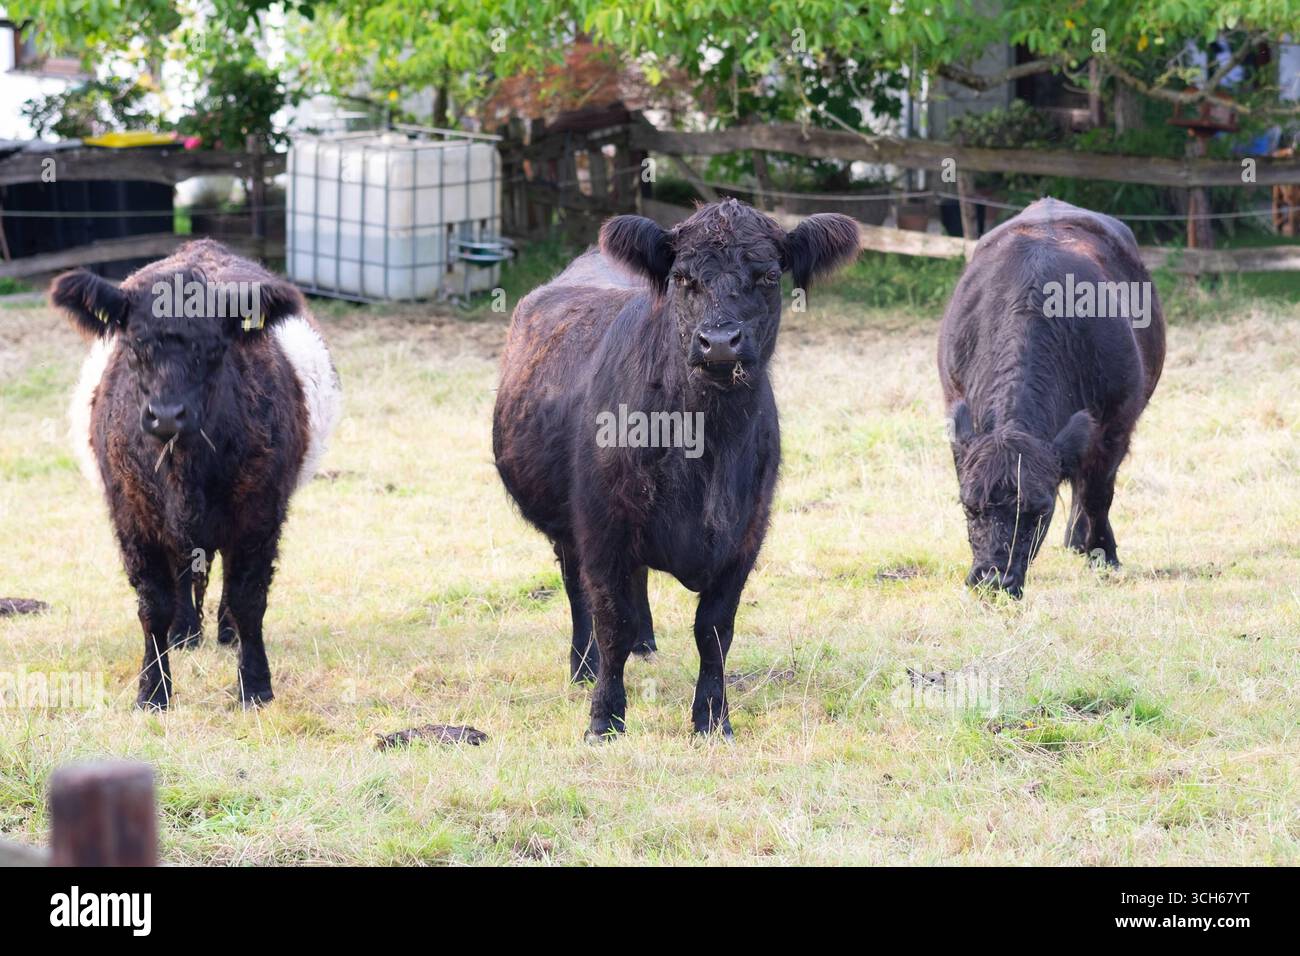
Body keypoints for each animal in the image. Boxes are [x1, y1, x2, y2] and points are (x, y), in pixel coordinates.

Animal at [54, 239, 342, 709]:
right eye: (135, 343)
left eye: (214, 348)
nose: (167, 414)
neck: (183, 466)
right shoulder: (132, 517)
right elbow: (154, 605)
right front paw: (153, 690)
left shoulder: (260, 513)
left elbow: (248, 598)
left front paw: (255, 685)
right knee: (183, 572)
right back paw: (184, 633)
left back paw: (225, 632)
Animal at [493, 199, 860, 739]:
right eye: (683, 277)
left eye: (769, 276)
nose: (720, 342)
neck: (705, 443)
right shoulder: (602, 527)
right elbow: (611, 619)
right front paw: (604, 717)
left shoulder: (746, 533)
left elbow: (714, 629)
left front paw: (712, 719)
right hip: (568, 526)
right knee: (578, 591)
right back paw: (583, 667)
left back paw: (645, 647)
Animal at [938, 198, 1165, 598]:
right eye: (970, 508)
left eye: (1039, 511)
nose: (993, 580)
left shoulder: (1115, 426)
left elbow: (1097, 495)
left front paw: (1103, 554)